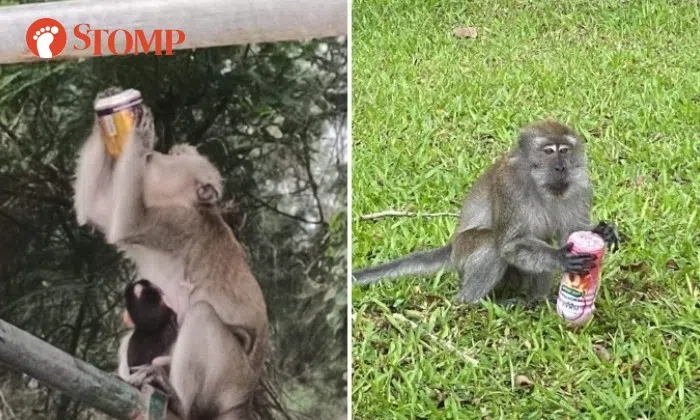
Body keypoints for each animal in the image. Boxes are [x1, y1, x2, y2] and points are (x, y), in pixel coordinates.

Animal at [73, 88, 268, 420]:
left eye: (173, 160)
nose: (157, 154)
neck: (182, 203)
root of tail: (245, 398)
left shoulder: (177, 222)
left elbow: (127, 224)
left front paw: (139, 135)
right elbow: (97, 211)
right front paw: (108, 105)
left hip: (229, 375)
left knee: (202, 315)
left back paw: (177, 399)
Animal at [353, 119, 619, 305]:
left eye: (564, 150)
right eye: (548, 151)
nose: (561, 167)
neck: (541, 184)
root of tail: (453, 248)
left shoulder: (580, 183)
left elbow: (573, 232)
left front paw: (602, 232)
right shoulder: (509, 185)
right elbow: (510, 245)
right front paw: (561, 256)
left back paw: (535, 300)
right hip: (464, 253)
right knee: (492, 243)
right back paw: (472, 303)